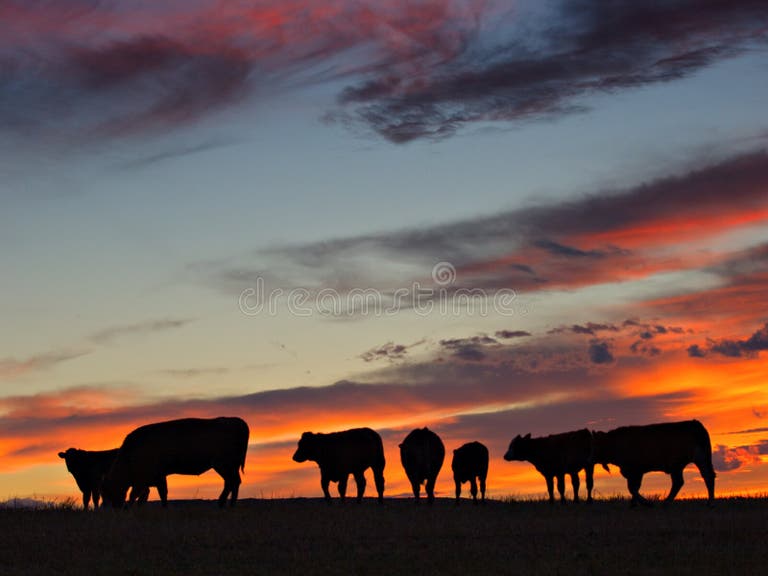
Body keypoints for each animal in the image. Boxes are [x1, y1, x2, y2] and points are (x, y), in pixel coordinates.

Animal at [102, 416, 250, 508]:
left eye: (109, 491)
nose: (115, 507)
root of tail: (237, 421)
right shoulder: (158, 477)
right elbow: (162, 493)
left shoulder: (143, 479)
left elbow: (135, 494)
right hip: (229, 467)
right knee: (233, 482)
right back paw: (228, 505)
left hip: (223, 465)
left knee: (232, 482)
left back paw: (223, 504)